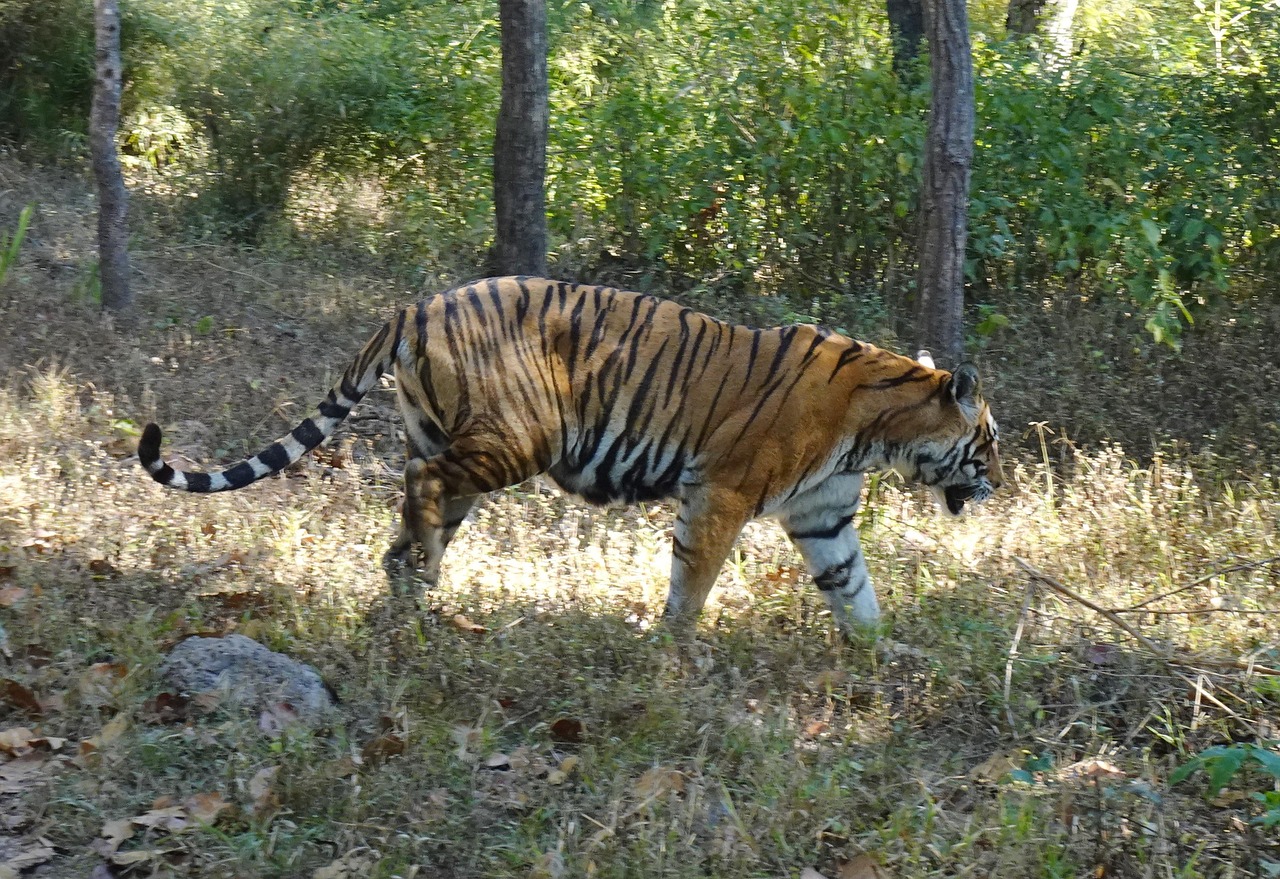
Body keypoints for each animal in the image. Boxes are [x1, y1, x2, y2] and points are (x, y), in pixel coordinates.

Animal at [139, 276, 1003, 634]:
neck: (880, 428)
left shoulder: (824, 516)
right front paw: (675, 653)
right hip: (520, 437)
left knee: (416, 497)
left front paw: (883, 653)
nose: (998, 484)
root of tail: (415, 303)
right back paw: (421, 579)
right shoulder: (719, 492)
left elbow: (855, 590)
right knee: (421, 482)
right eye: (988, 444)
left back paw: (406, 583)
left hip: (452, 436)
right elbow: (693, 583)